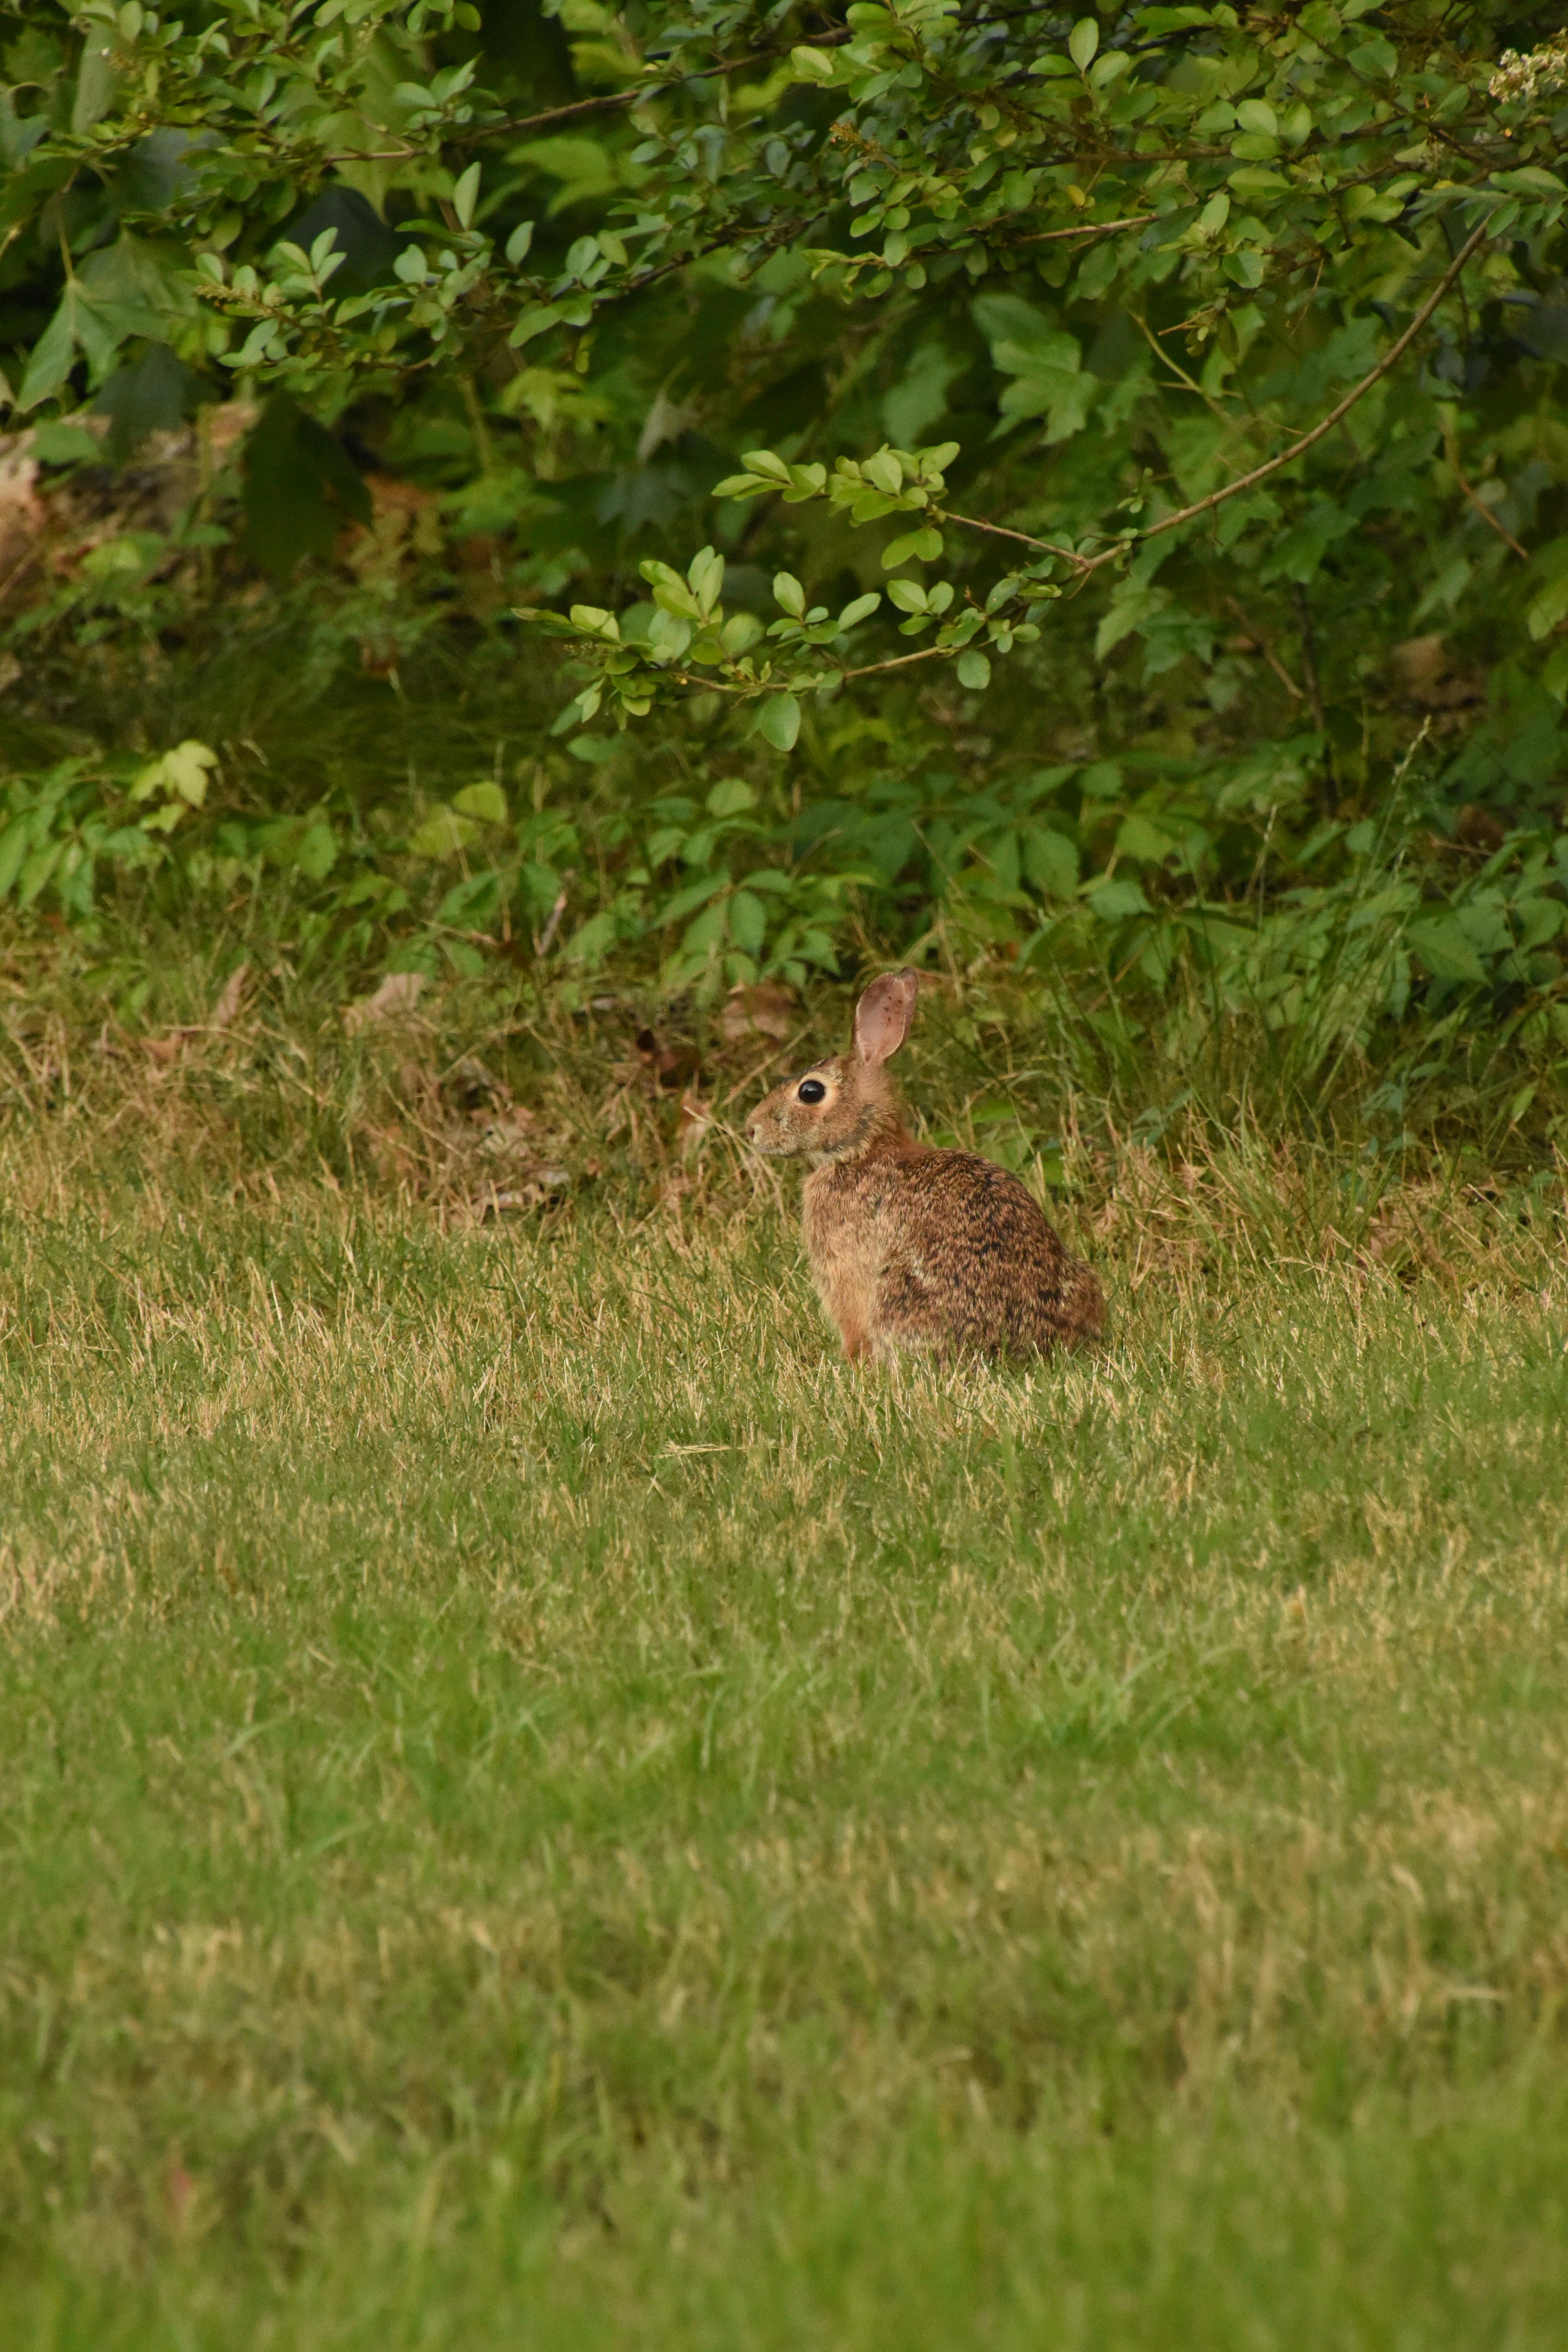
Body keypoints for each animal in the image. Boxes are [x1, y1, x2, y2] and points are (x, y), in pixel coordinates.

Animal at [746, 969, 1105, 1362]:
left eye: (810, 1092)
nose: (752, 1128)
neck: (862, 1151)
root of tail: (1024, 1342)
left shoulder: (845, 1269)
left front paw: (851, 1361)